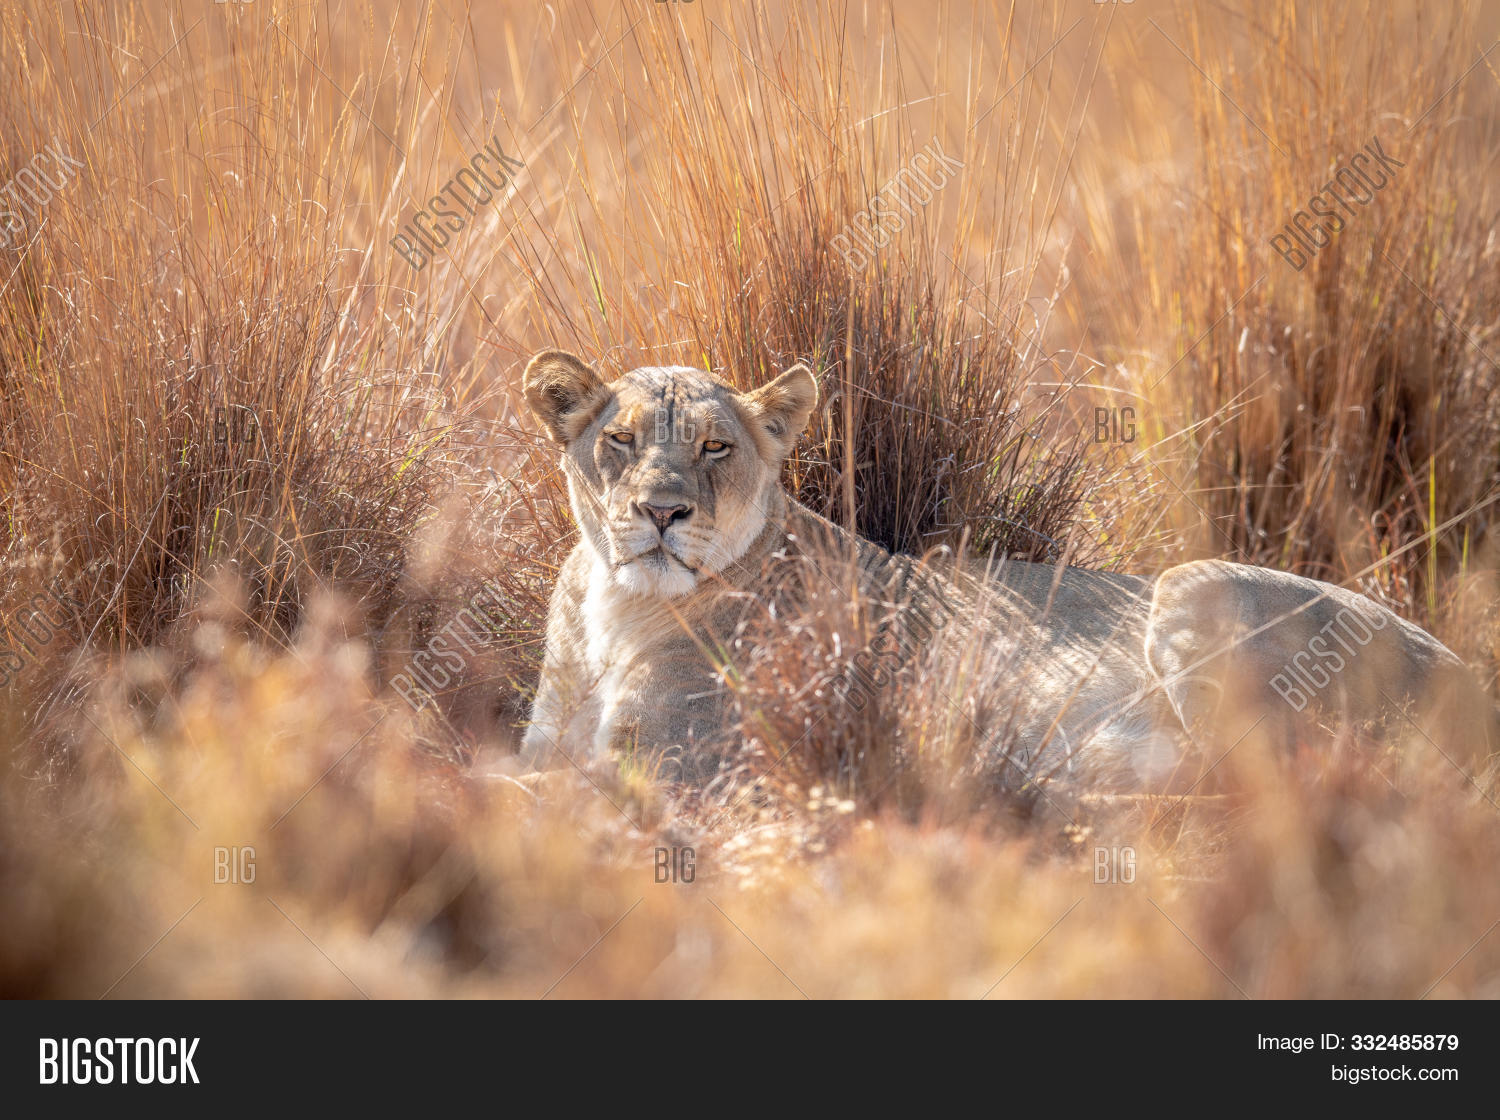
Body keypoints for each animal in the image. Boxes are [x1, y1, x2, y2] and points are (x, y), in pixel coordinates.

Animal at [518, 349, 1498, 789]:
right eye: (619, 441)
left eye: (715, 447)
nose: (660, 512)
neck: (614, 610)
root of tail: (1465, 674)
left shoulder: (674, 768)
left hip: (1196, 587)